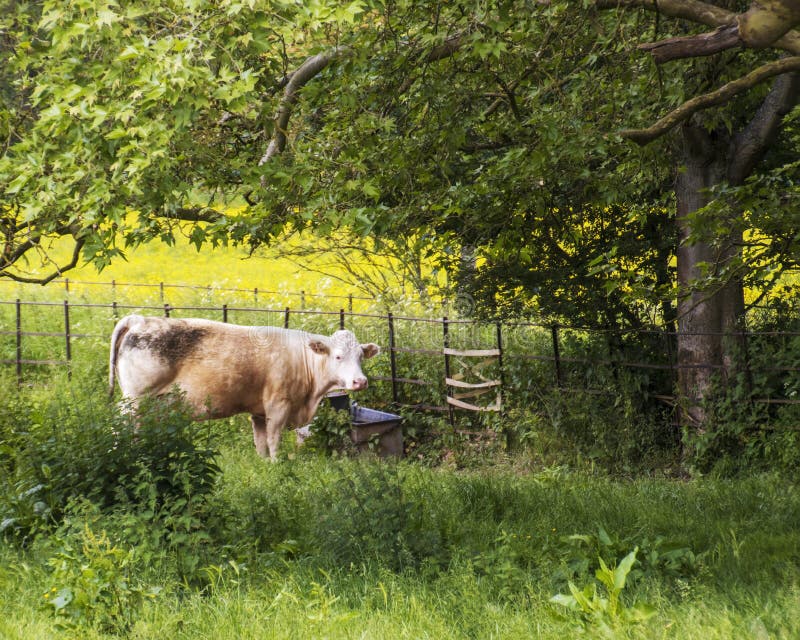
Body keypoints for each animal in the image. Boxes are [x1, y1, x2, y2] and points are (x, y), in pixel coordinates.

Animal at [108, 314, 380, 460]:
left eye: (361, 356)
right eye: (338, 356)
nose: (360, 381)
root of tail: (141, 319)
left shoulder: (258, 412)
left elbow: (260, 443)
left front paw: (265, 465)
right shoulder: (278, 406)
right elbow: (274, 440)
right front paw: (278, 464)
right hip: (134, 401)